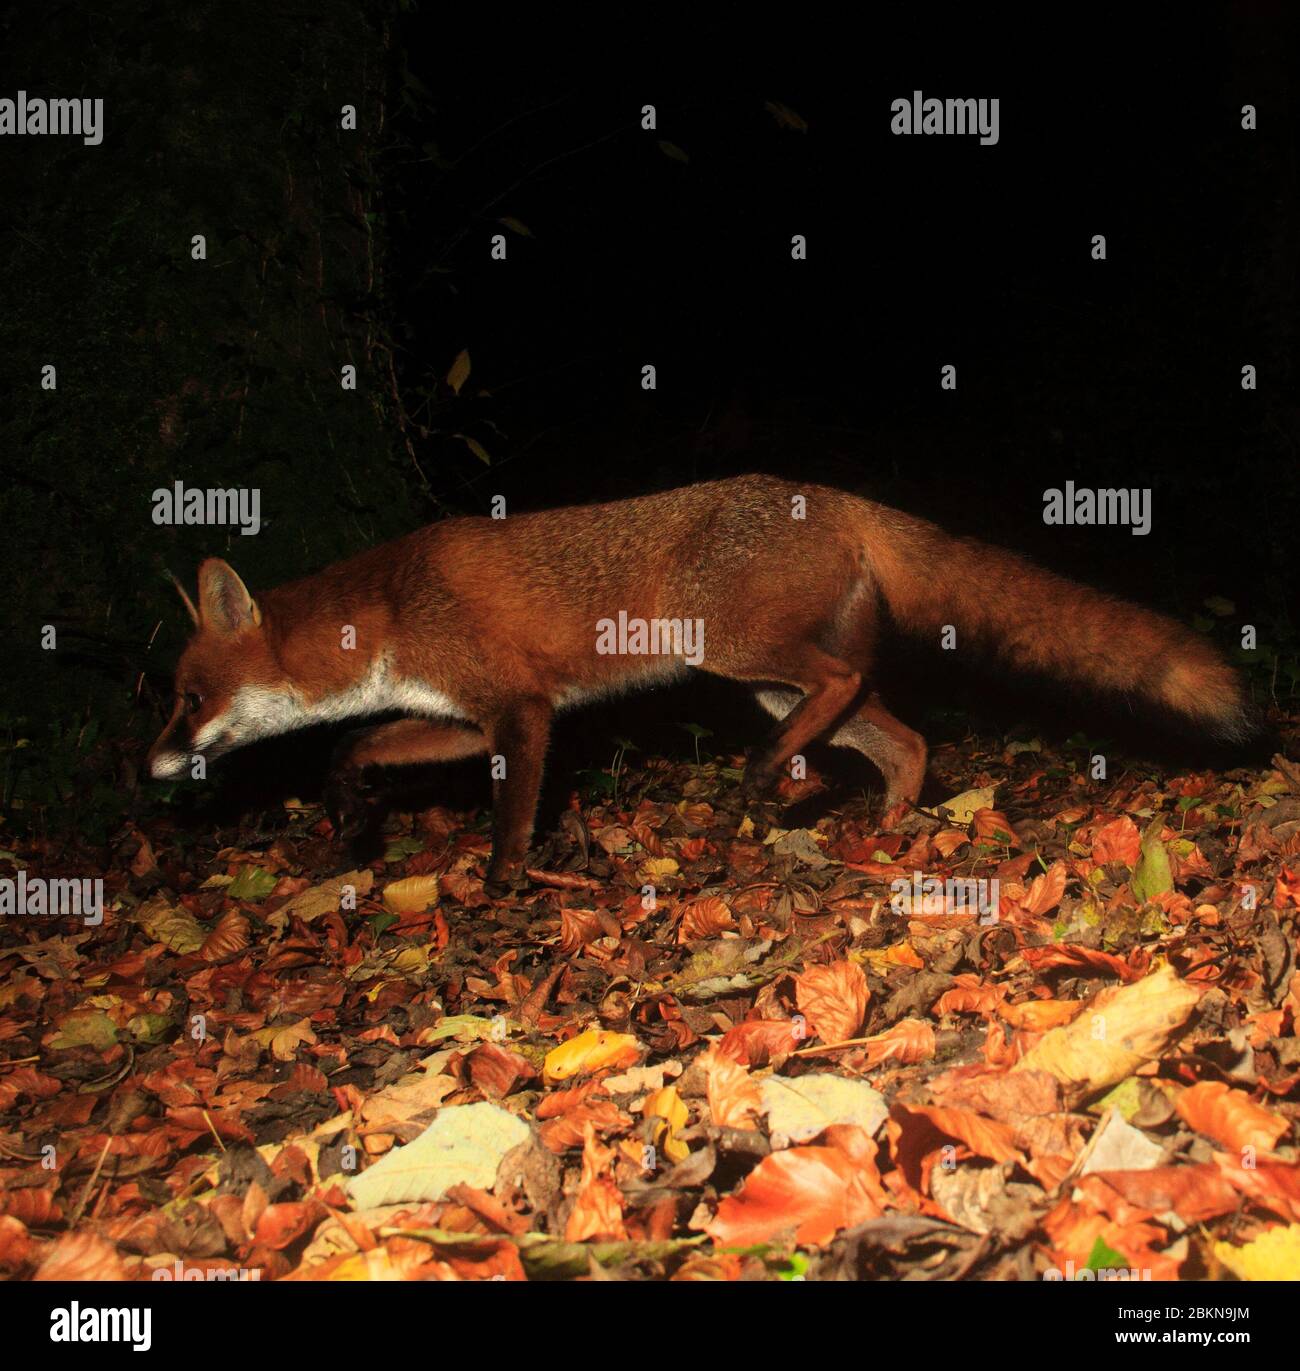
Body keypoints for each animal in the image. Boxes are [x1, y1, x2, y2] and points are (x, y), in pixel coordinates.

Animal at [148, 474, 1260, 895]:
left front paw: (505, 887)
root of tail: (830, 493)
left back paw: (773, 779)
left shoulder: (521, 711)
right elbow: (352, 743)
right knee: (901, 736)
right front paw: (347, 808)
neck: (387, 611)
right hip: (762, 675)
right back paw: (884, 821)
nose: (151, 763)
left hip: (732, 649)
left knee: (844, 683)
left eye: (188, 698)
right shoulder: (466, 715)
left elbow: (511, 818)